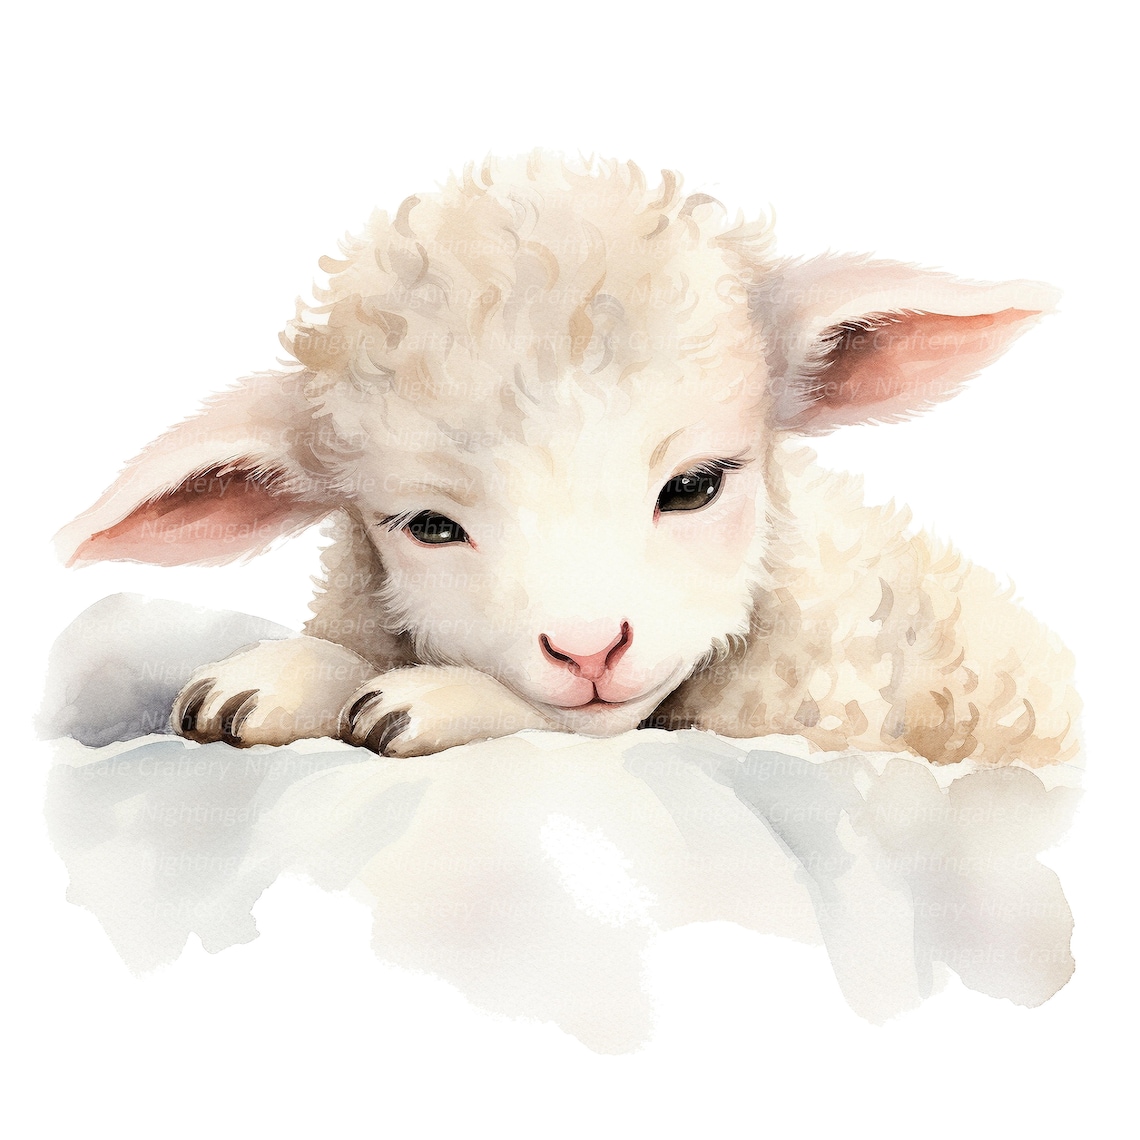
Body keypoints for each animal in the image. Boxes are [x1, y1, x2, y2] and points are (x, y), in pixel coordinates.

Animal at [56, 153, 1080, 767]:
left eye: (695, 485)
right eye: (429, 525)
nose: (589, 649)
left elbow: (561, 723)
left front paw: (424, 702)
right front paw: (277, 678)